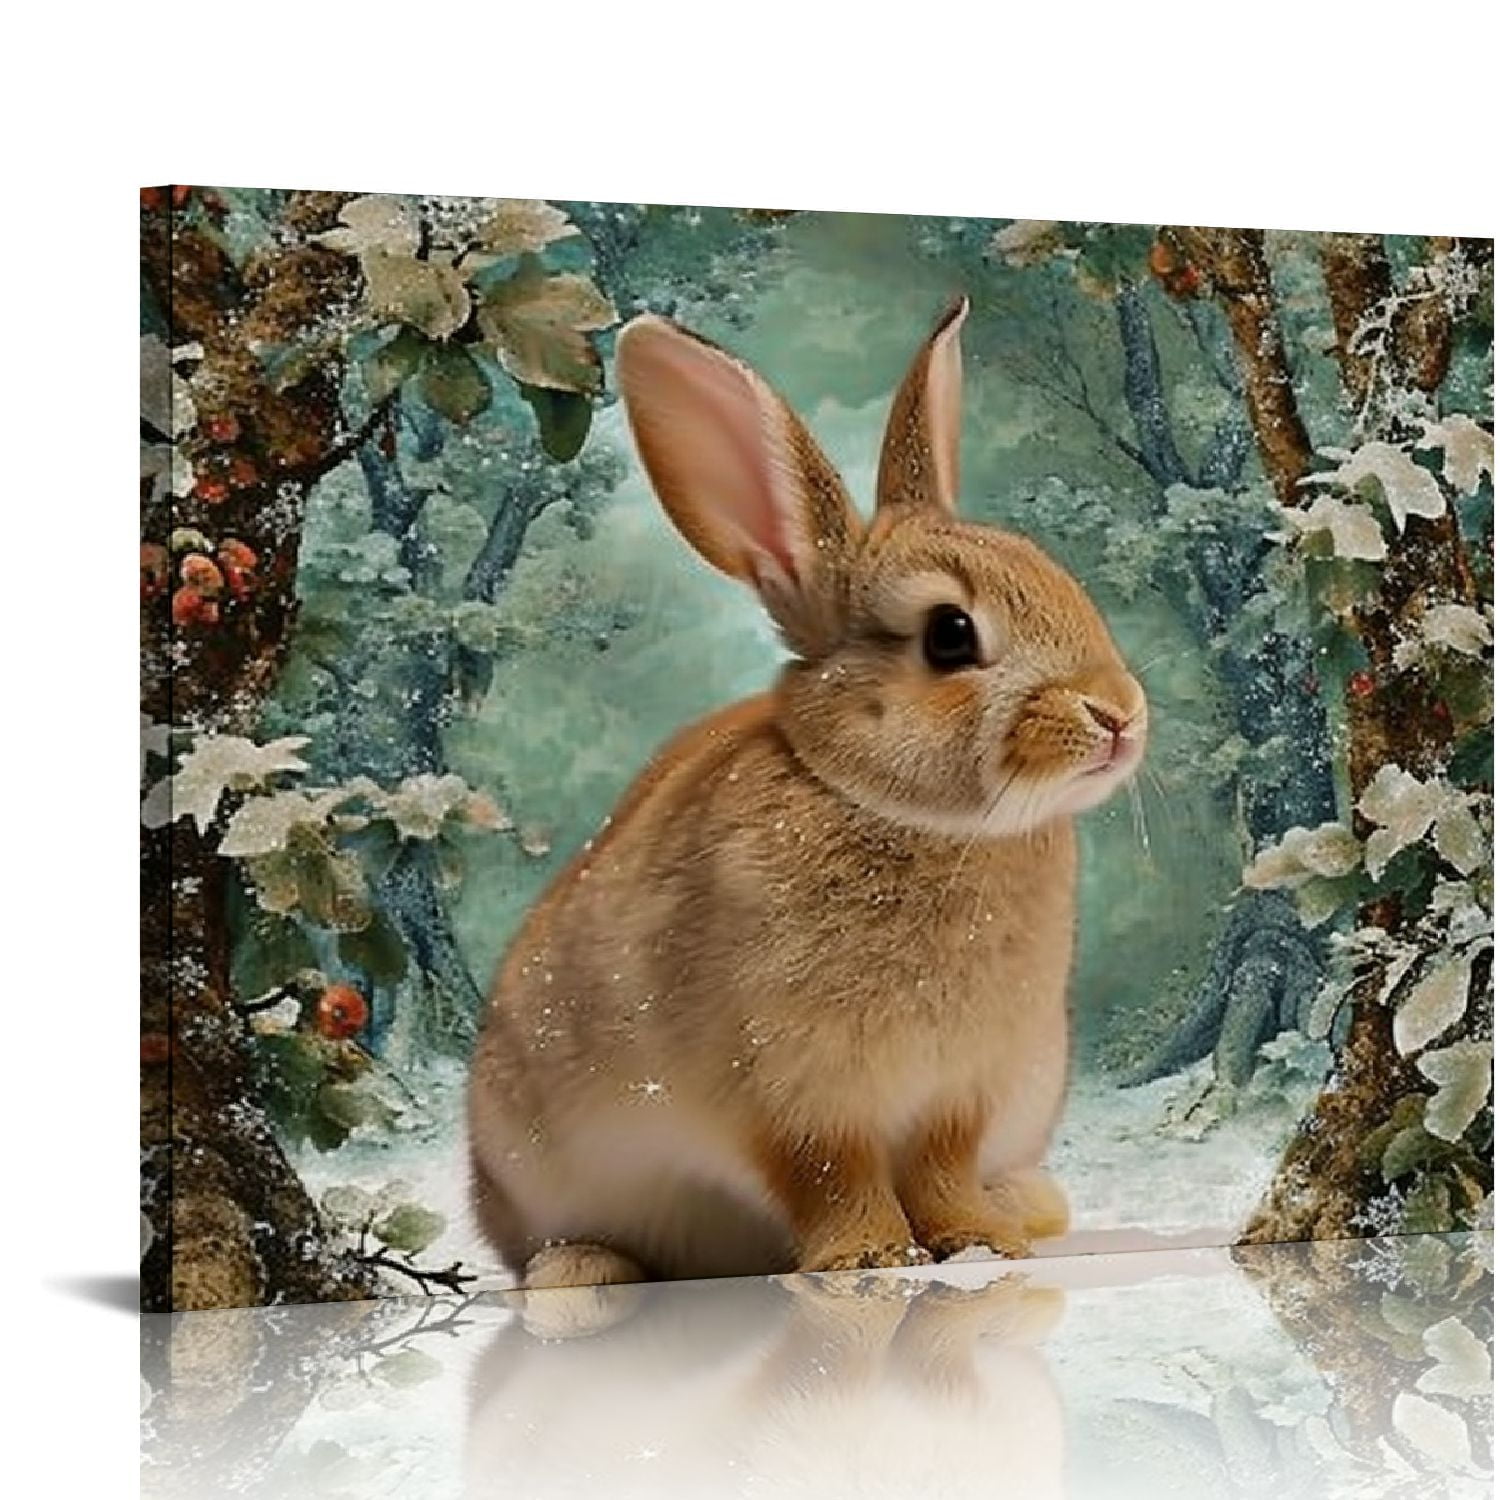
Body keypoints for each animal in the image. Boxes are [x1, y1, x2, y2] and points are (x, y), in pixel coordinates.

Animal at [468, 297, 1147, 1290]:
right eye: (950, 635)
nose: (1121, 715)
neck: (898, 813)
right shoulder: (792, 1092)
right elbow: (832, 1175)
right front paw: (869, 1260)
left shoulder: (963, 1091)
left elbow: (943, 1170)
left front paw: (981, 1245)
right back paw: (581, 1280)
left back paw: (1028, 1203)